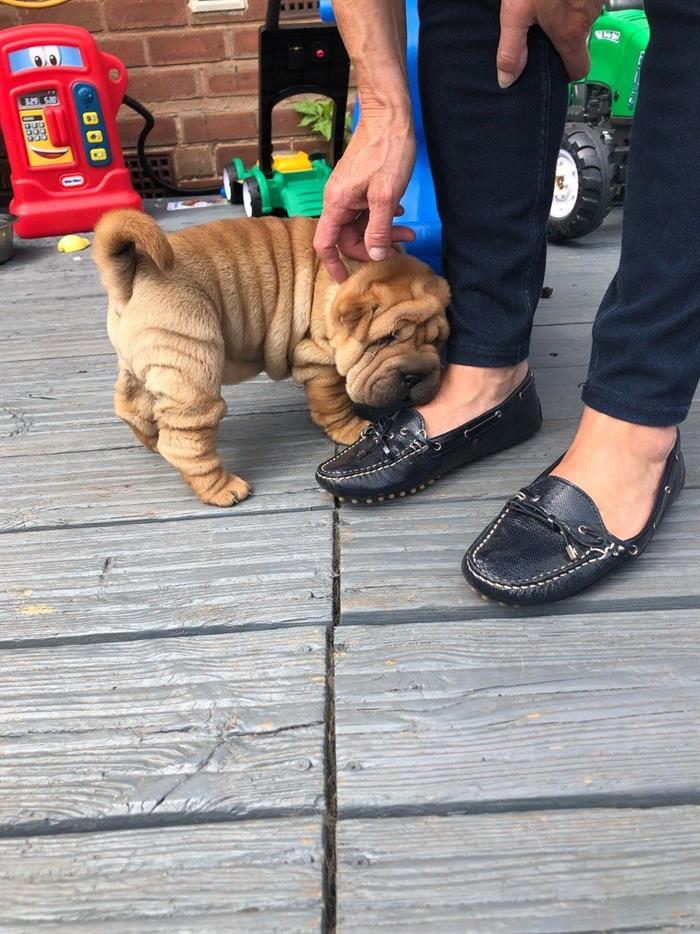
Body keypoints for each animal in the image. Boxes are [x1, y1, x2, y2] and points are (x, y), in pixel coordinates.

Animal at [93, 211, 452, 508]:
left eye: (437, 341)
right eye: (385, 340)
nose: (414, 377)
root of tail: (133, 279)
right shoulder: (319, 360)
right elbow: (334, 403)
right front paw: (352, 429)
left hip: (149, 363)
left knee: (132, 405)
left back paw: (151, 441)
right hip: (191, 361)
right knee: (185, 442)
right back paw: (223, 489)